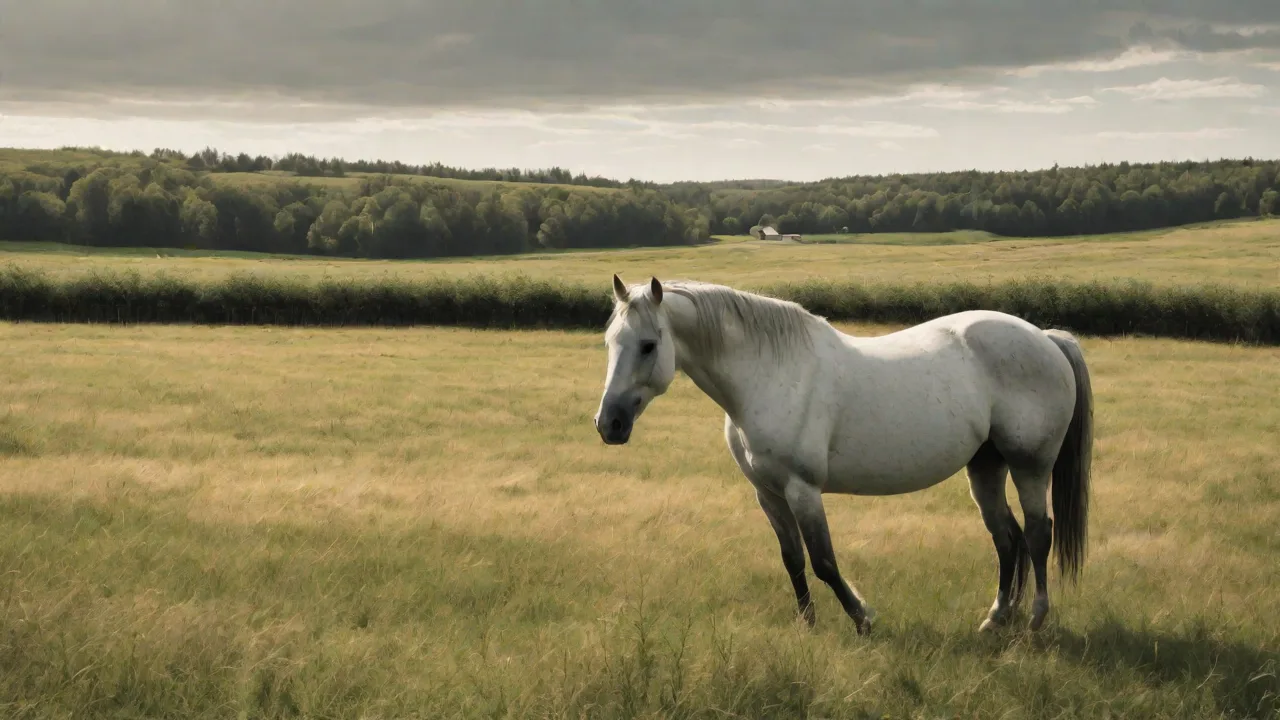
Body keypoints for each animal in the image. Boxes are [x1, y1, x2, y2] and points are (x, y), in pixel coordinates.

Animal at [592, 275, 1093, 635]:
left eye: (649, 345)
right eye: (610, 341)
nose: (608, 424)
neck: (769, 374)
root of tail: (1046, 338)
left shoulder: (803, 490)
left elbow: (824, 561)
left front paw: (862, 618)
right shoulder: (768, 494)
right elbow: (792, 559)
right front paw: (807, 624)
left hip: (1031, 466)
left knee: (1037, 534)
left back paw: (1035, 620)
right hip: (986, 467)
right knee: (1006, 538)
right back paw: (996, 619)